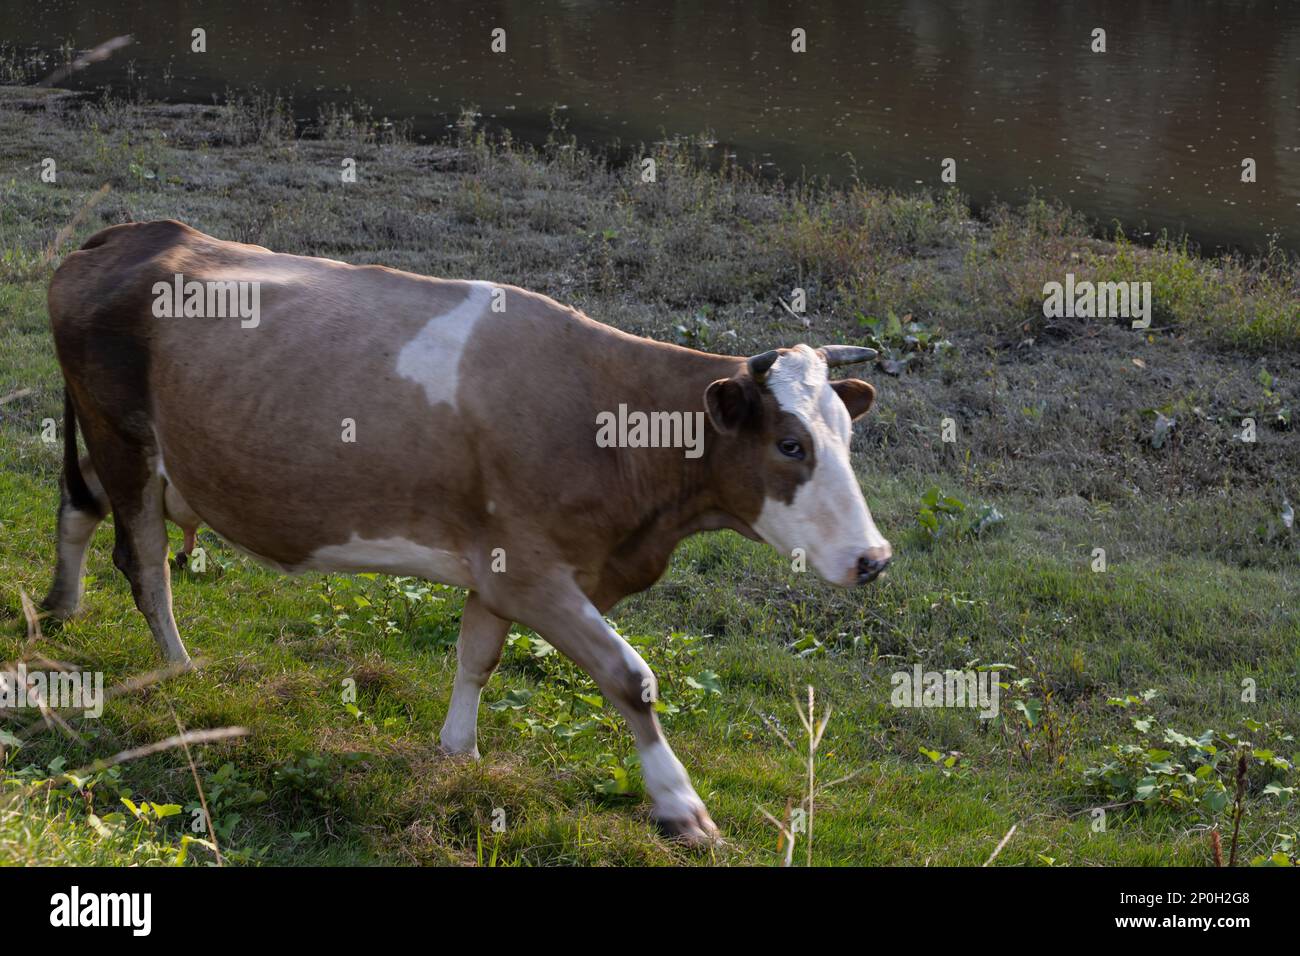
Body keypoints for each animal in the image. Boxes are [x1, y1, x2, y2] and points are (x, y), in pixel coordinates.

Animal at [41, 220, 892, 845]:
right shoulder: (535, 572)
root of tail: (134, 233)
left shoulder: (500, 566)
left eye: (849, 434)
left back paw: (59, 610)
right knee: (145, 561)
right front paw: (683, 809)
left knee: (78, 505)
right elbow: (632, 678)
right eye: (790, 445)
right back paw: (178, 669)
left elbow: (477, 656)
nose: (874, 558)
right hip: (125, 438)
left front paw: (458, 755)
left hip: (133, 449)